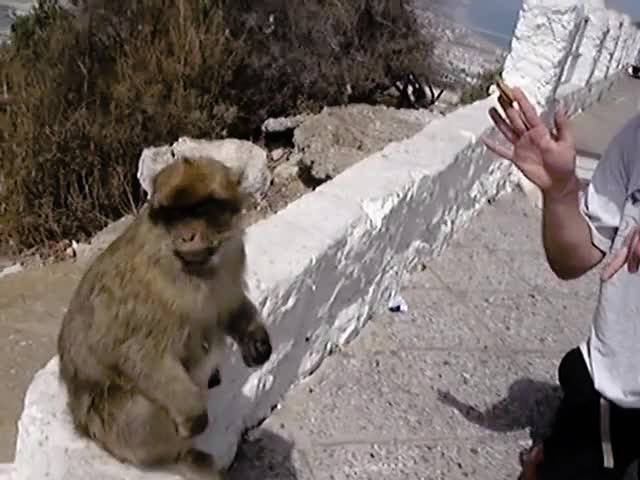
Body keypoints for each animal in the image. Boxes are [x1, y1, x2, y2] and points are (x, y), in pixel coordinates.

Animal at [57, 155, 273, 479]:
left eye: (201, 210)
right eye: (174, 216)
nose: (186, 235)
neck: (194, 270)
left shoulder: (232, 254)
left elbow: (227, 307)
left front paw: (256, 340)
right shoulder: (148, 292)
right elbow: (136, 353)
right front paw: (193, 415)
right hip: (109, 430)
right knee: (141, 410)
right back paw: (177, 456)